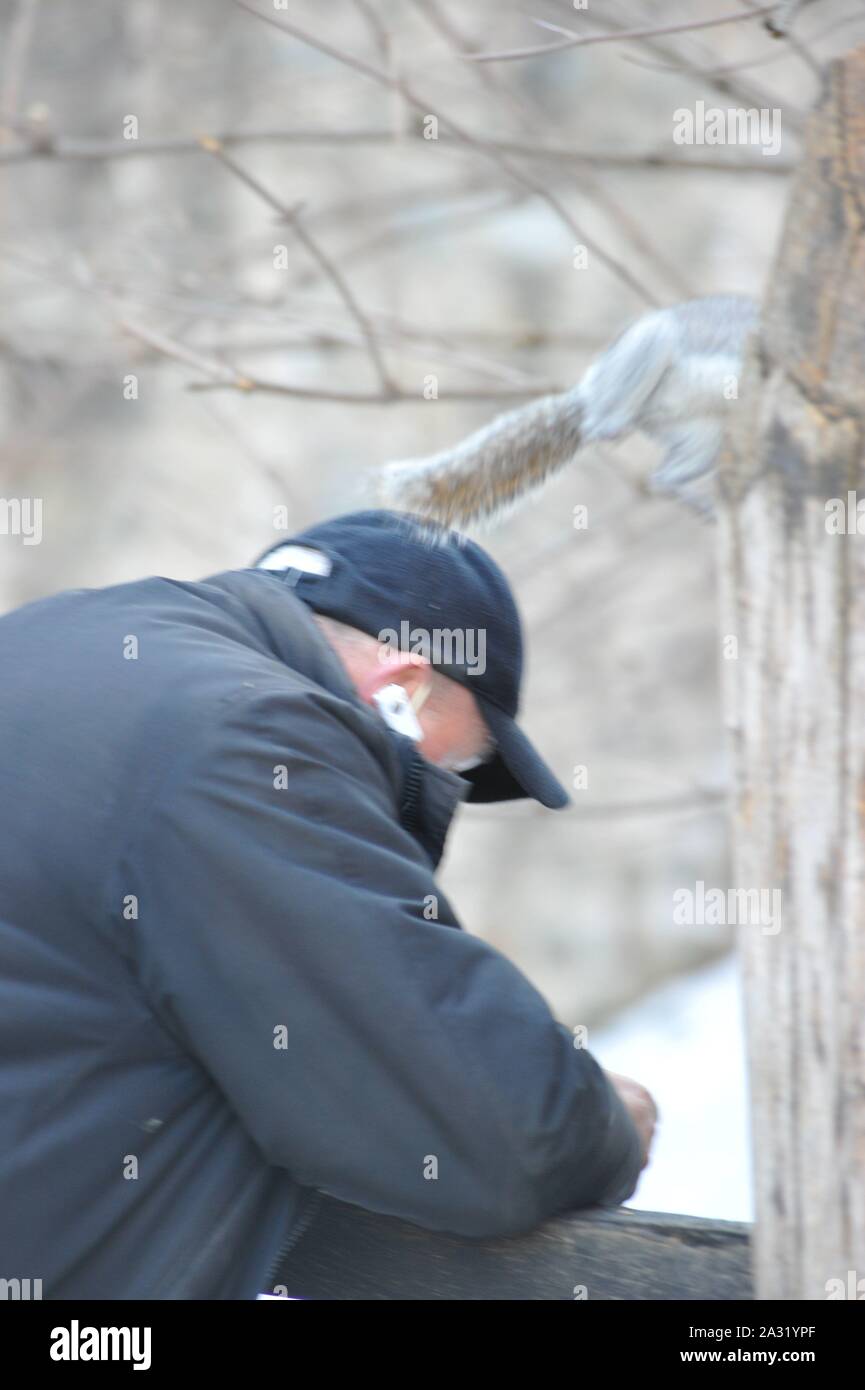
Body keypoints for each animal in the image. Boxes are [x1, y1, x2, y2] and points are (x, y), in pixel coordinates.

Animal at [376, 295, 759, 530]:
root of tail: (591, 388)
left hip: (703, 435)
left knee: (662, 477)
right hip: (646, 349)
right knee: (600, 420)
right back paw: (608, 424)